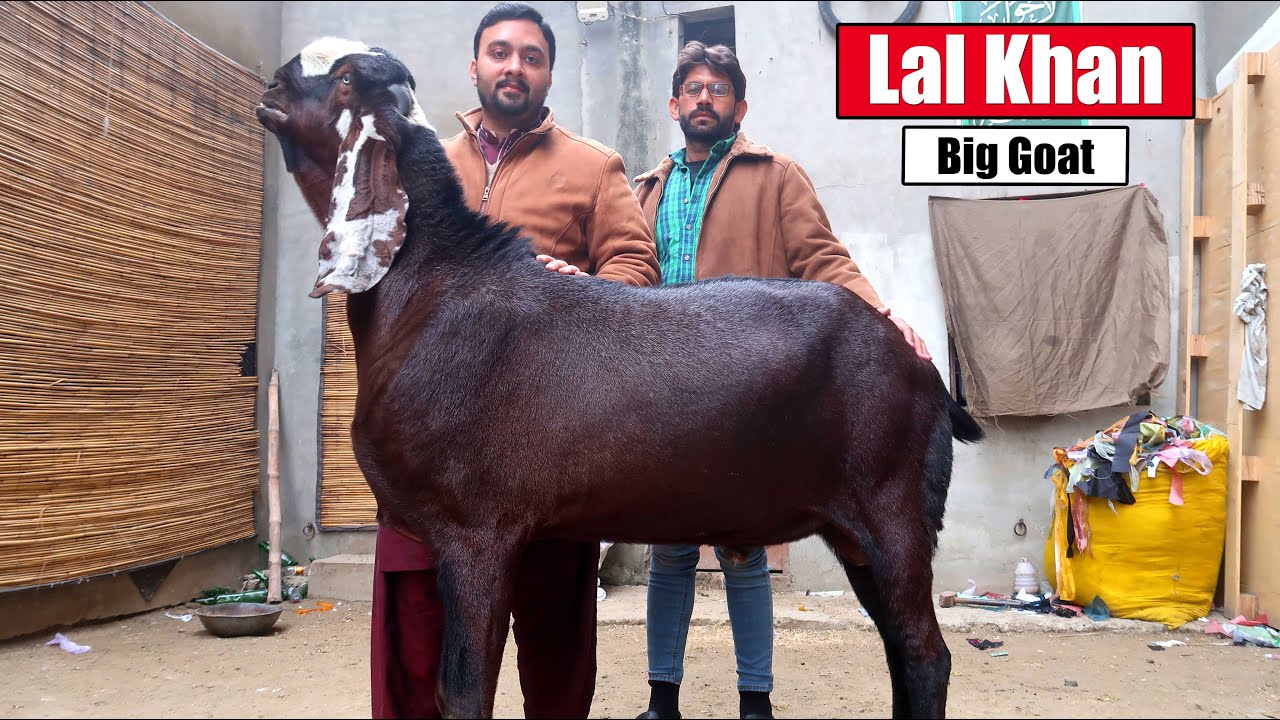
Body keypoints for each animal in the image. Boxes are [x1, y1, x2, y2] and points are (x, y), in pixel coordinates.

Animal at [256, 38, 985, 719]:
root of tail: (922, 369)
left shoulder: (476, 530)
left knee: (926, 652)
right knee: (900, 648)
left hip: (893, 508)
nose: (275, 83)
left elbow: (461, 693)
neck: (433, 283)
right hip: (856, 534)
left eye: (343, 79)